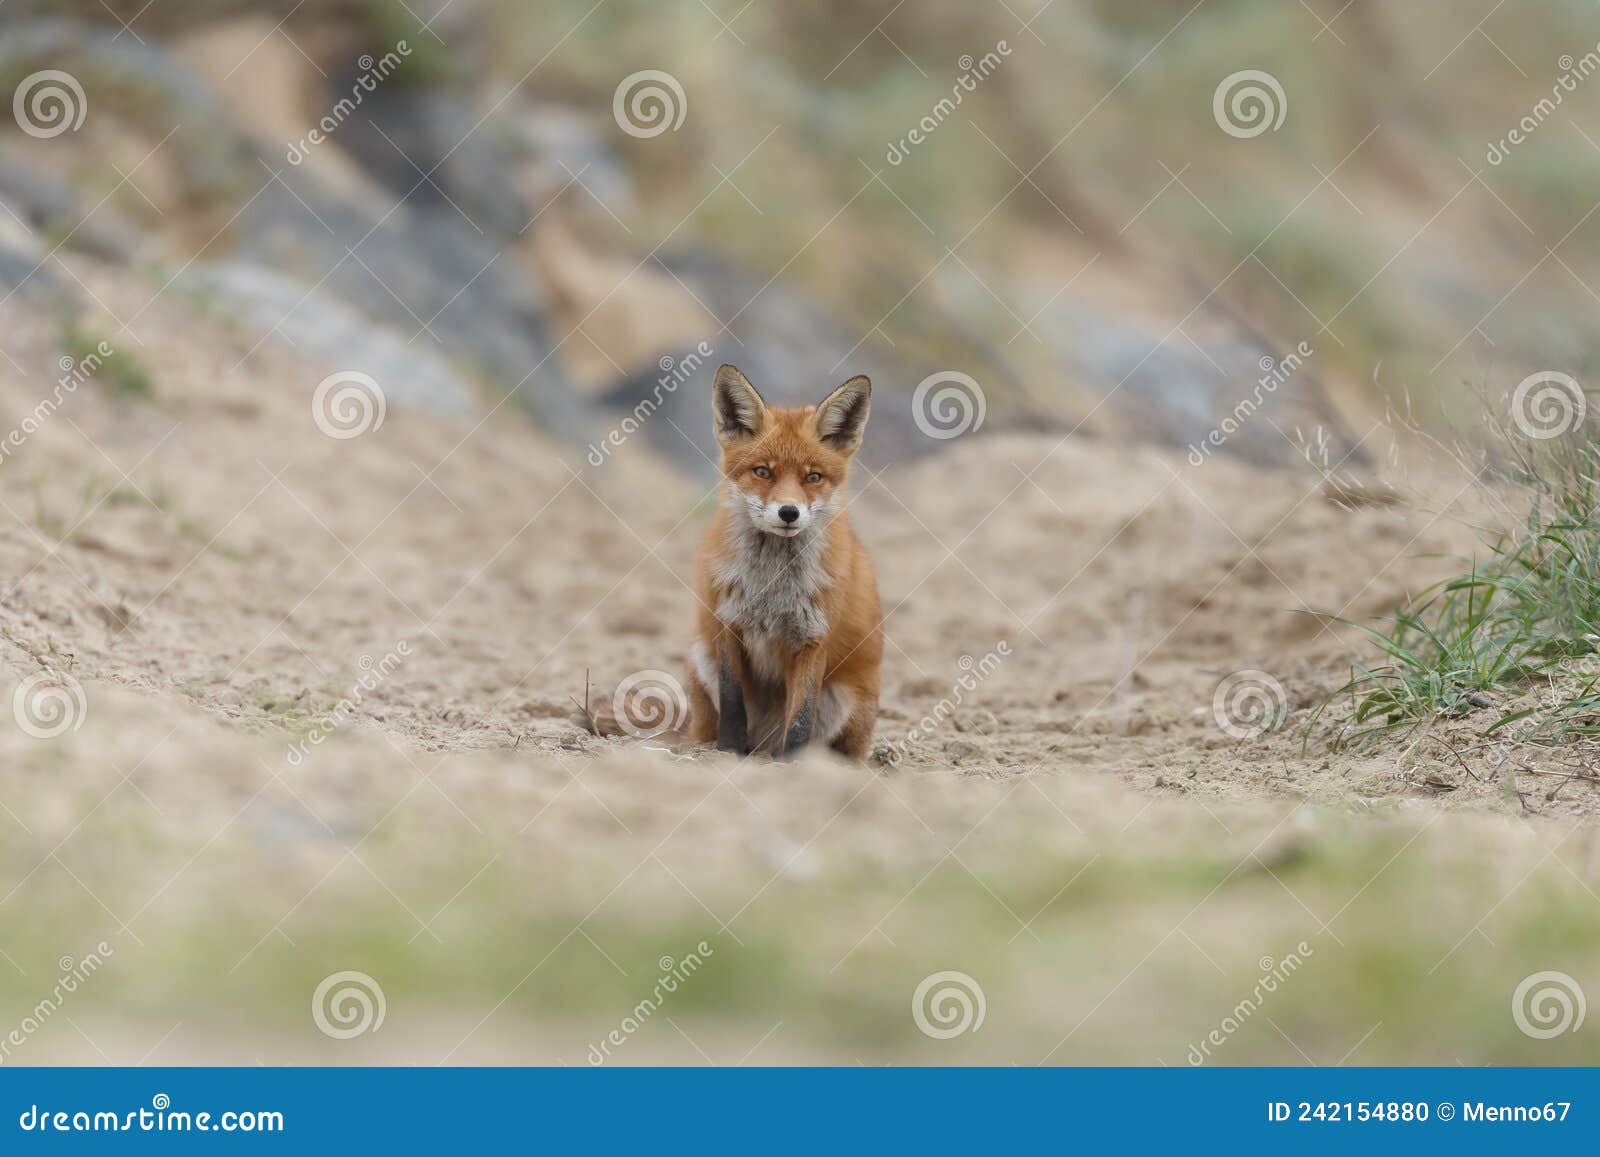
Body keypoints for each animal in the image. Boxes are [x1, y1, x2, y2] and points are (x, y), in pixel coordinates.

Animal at [684, 364, 883, 760]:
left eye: (813, 477)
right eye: (763, 472)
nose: (789, 512)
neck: (771, 585)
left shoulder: (813, 639)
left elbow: (801, 717)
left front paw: (794, 765)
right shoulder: (728, 624)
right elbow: (732, 701)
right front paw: (729, 752)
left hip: (845, 699)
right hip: (701, 657)